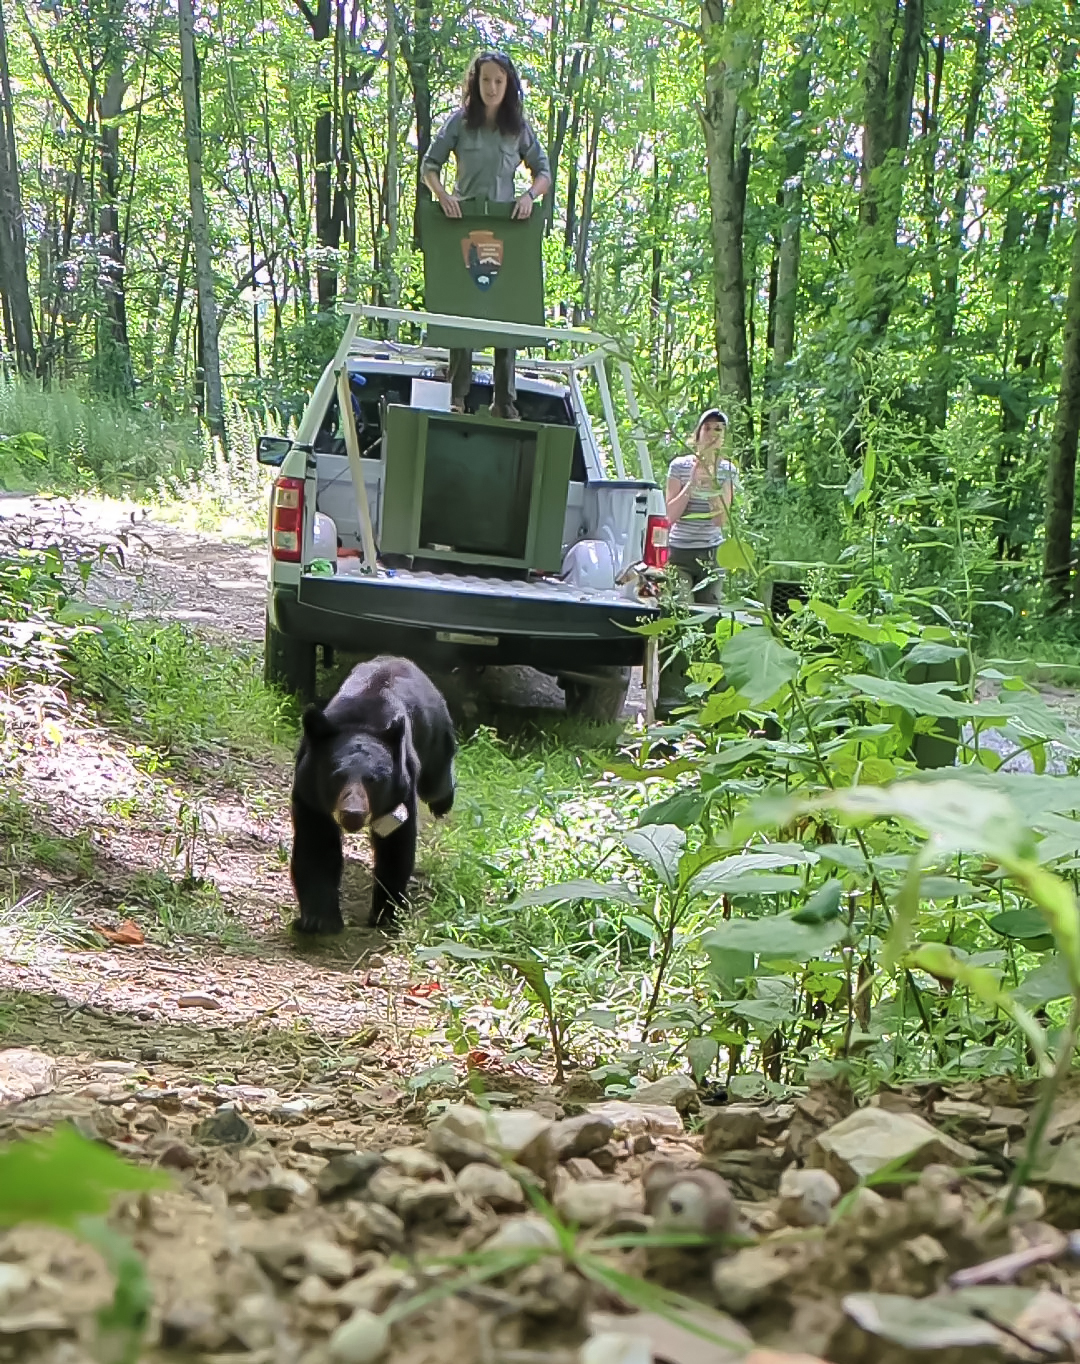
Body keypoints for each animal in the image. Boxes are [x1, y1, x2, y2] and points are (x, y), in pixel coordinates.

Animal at [289, 656, 456, 934]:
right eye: (337, 776)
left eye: (374, 780)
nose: (352, 814)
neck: (361, 723)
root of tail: (399, 658)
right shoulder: (309, 791)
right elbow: (316, 844)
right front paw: (319, 919)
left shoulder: (401, 788)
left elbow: (396, 847)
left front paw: (386, 914)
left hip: (434, 732)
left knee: (437, 779)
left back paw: (443, 804)